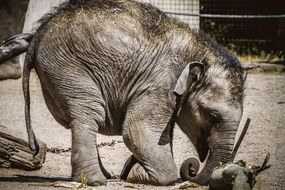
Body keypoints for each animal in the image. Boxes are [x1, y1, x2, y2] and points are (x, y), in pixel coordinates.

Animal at [22, 0, 245, 186]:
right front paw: (134, 175)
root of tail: (39, 31)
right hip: (67, 68)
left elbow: (161, 133)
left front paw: (131, 168)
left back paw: (106, 176)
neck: (199, 51)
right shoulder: (160, 82)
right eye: (212, 116)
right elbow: (137, 130)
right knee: (89, 114)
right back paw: (96, 181)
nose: (191, 167)